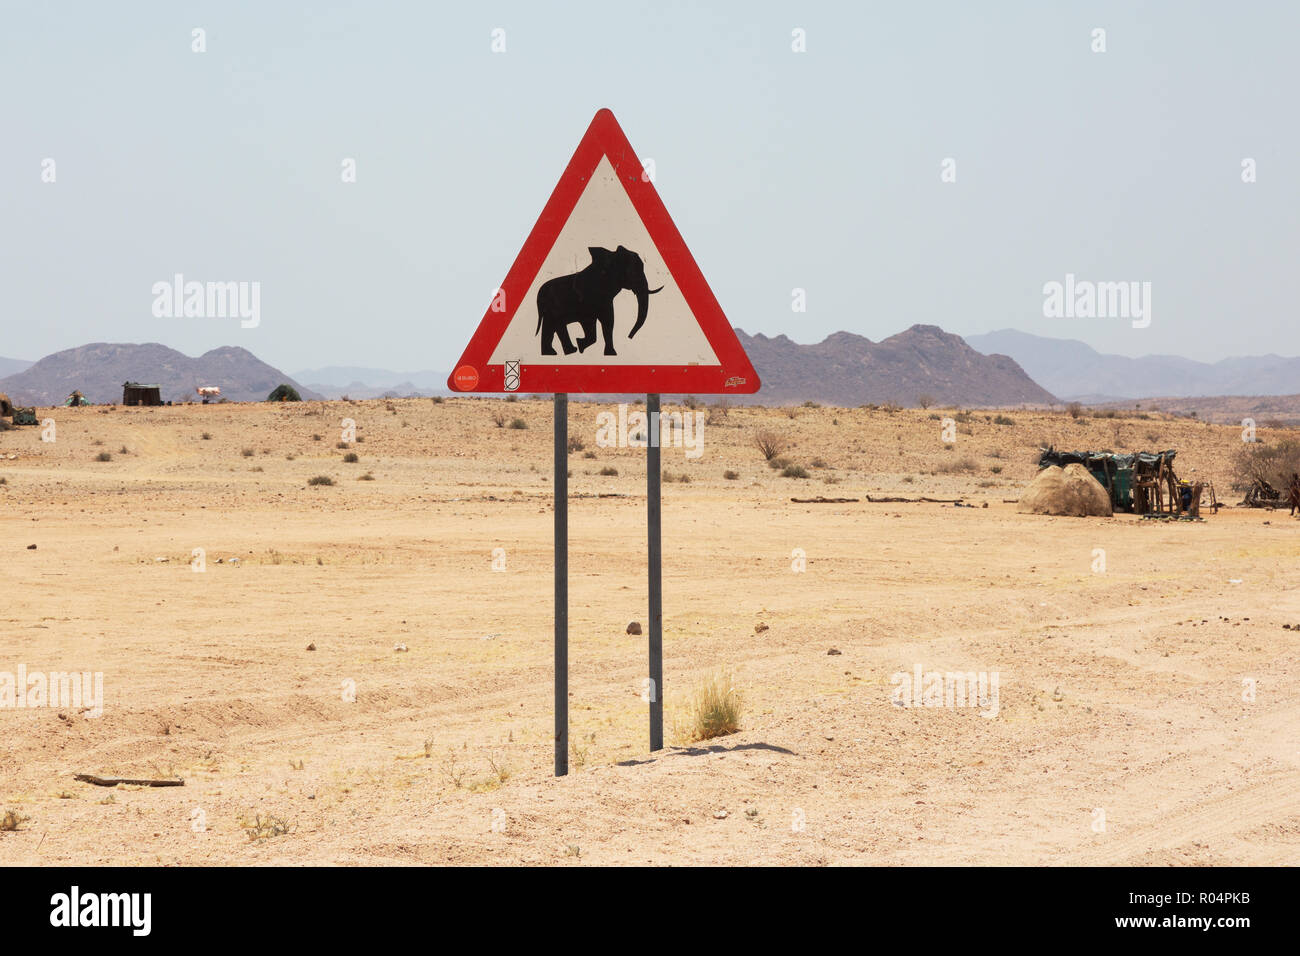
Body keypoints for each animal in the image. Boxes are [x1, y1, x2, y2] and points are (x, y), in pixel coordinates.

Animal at [535, 246, 663, 356]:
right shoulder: (588, 300)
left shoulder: (606, 301)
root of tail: (539, 294)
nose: (629, 337)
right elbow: (591, 322)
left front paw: (610, 354)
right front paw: (580, 344)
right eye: (632, 272)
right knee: (557, 325)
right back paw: (570, 351)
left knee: (550, 326)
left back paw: (551, 353)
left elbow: (608, 321)